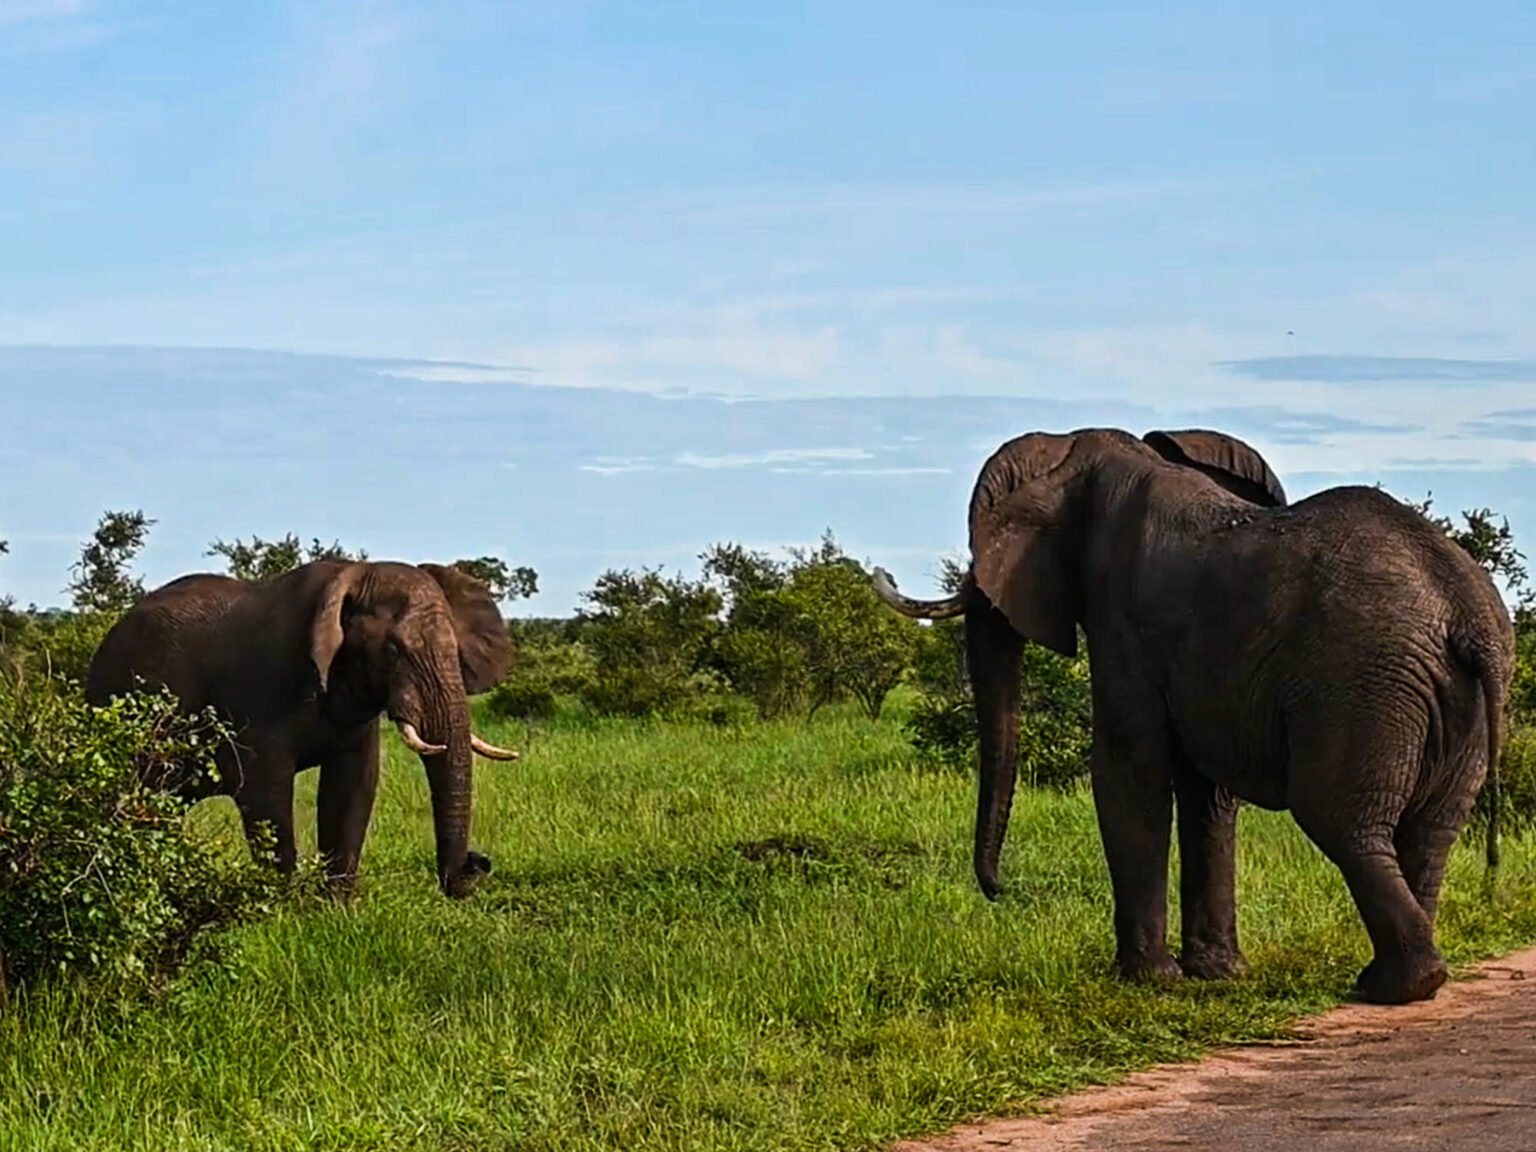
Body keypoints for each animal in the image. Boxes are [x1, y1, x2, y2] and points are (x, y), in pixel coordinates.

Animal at [86, 559, 519, 897]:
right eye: (393, 651)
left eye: (457, 653)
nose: (476, 865)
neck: (355, 574)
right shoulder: (260, 690)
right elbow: (265, 793)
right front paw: (280, 910)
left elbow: (353, 787)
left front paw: (336, 912)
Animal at [874, 427, 1513, 1004]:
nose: (996, 889)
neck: (1095, 454)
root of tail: (1464, 612)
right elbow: (1207, 790)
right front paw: (1217, 975)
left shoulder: (1121, 616)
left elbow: (1129, 769)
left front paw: (1146, 981)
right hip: (1451, 700)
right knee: (1430, 831)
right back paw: (1402, 979)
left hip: (1364, 683)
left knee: (1341, 821)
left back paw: (1393, 987)